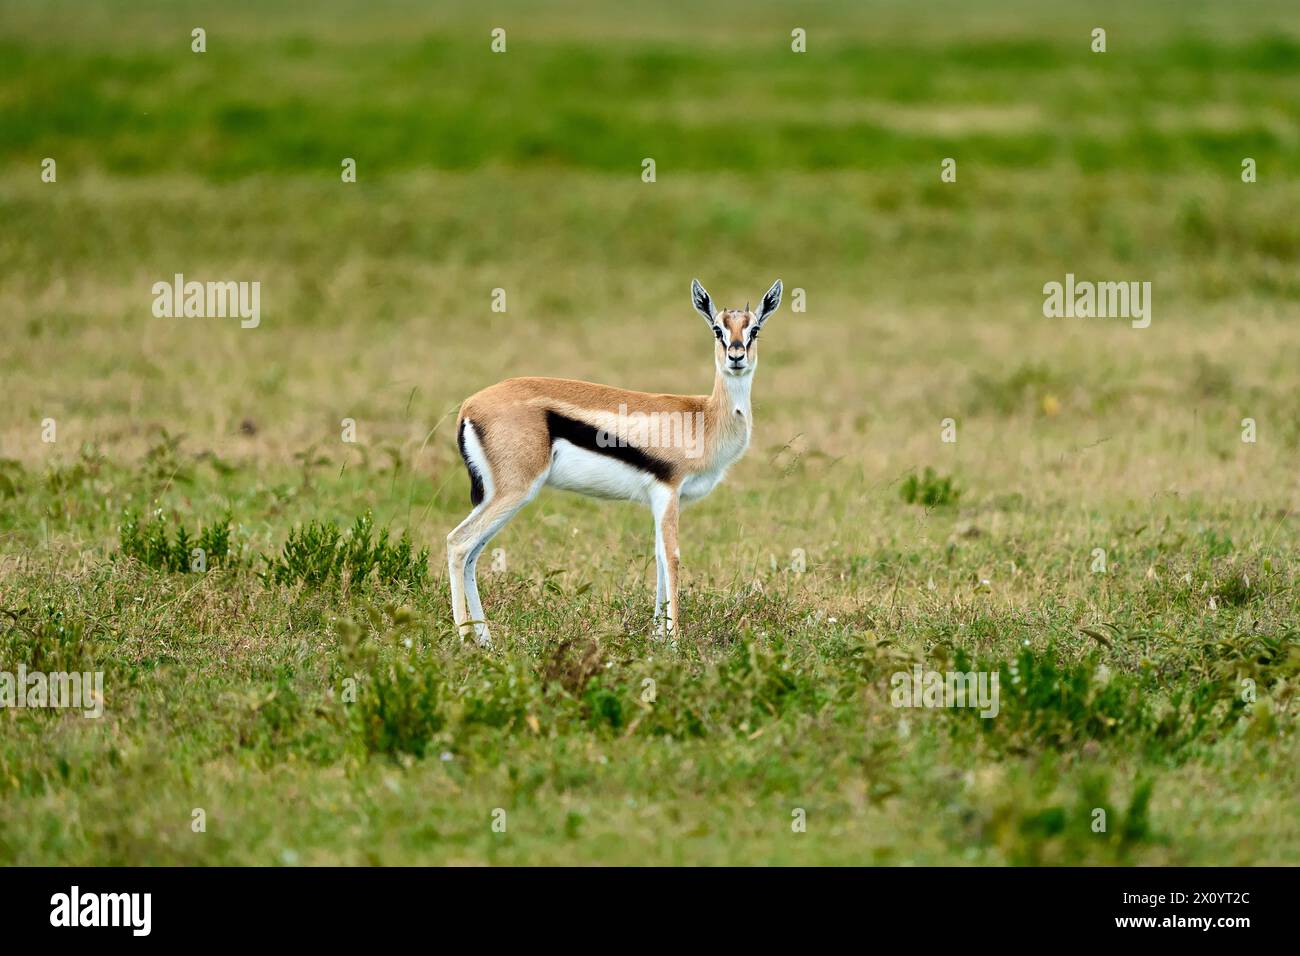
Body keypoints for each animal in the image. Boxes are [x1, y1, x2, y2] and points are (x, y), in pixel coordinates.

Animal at [447, 278, 783, 645]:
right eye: (717, 329)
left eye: (754, 329)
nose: (736, 357)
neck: (704, 417)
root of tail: (469, 406)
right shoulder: (667, 491)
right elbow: (673, 557)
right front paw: (674, 642)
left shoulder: (664, 500)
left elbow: (659, 558)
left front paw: (657, 638)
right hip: (514, 492)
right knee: (459, 544)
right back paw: (464, 640)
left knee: (473, 553)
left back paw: (486, 641)